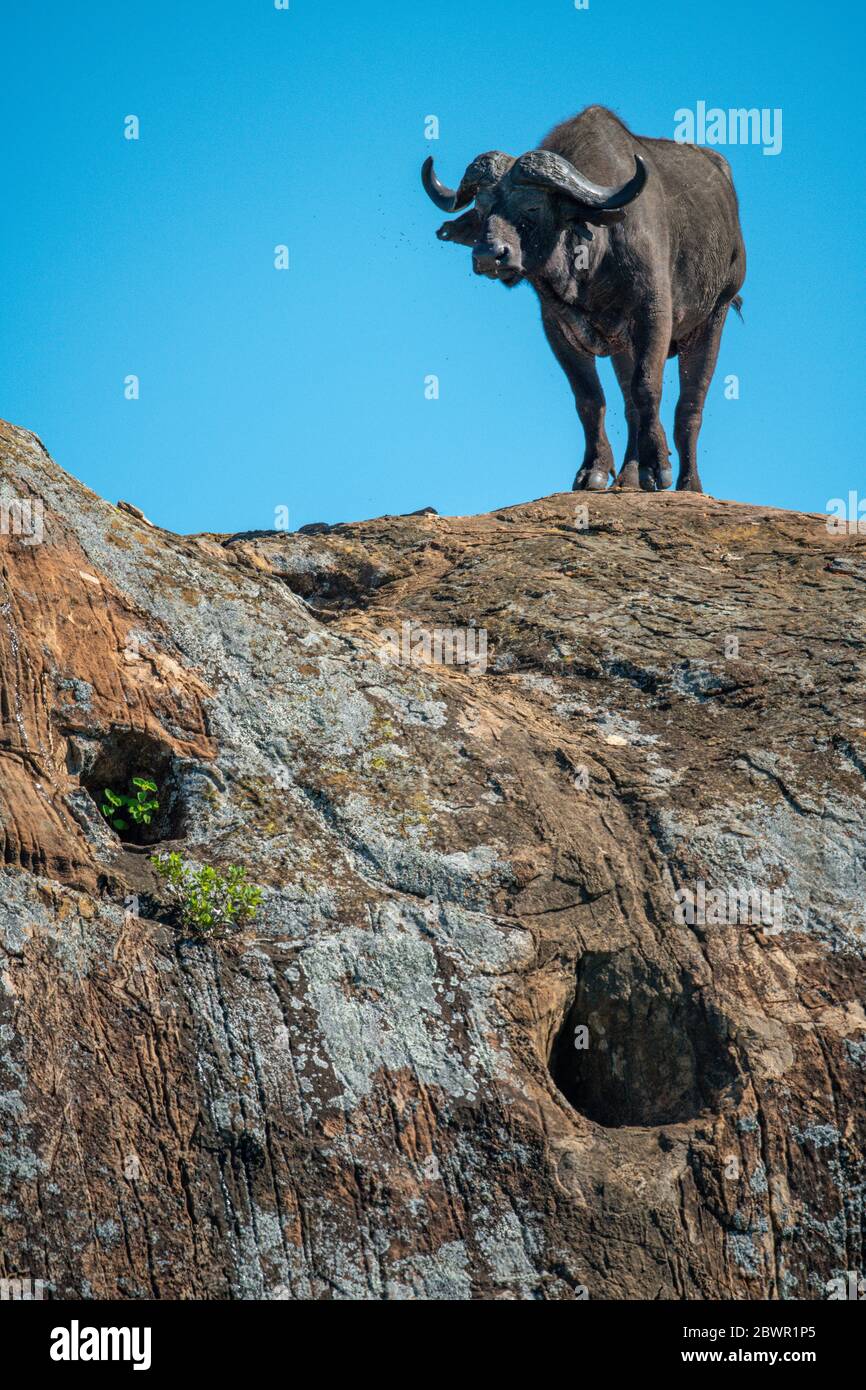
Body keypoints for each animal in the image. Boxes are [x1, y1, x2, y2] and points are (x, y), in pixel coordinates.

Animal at [422, 105, 745, 493]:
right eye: (483, 207)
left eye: (532, 206)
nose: (489, 255)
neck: (593, 263)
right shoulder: (557, 328)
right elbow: (590, 399)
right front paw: (594, 470)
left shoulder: (654, 314)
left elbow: (647, 386)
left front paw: (657, 467)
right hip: (623, 346)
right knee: (629, 406)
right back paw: (628, 475)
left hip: (715, 313)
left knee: (690, 405)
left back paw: (689, 483)